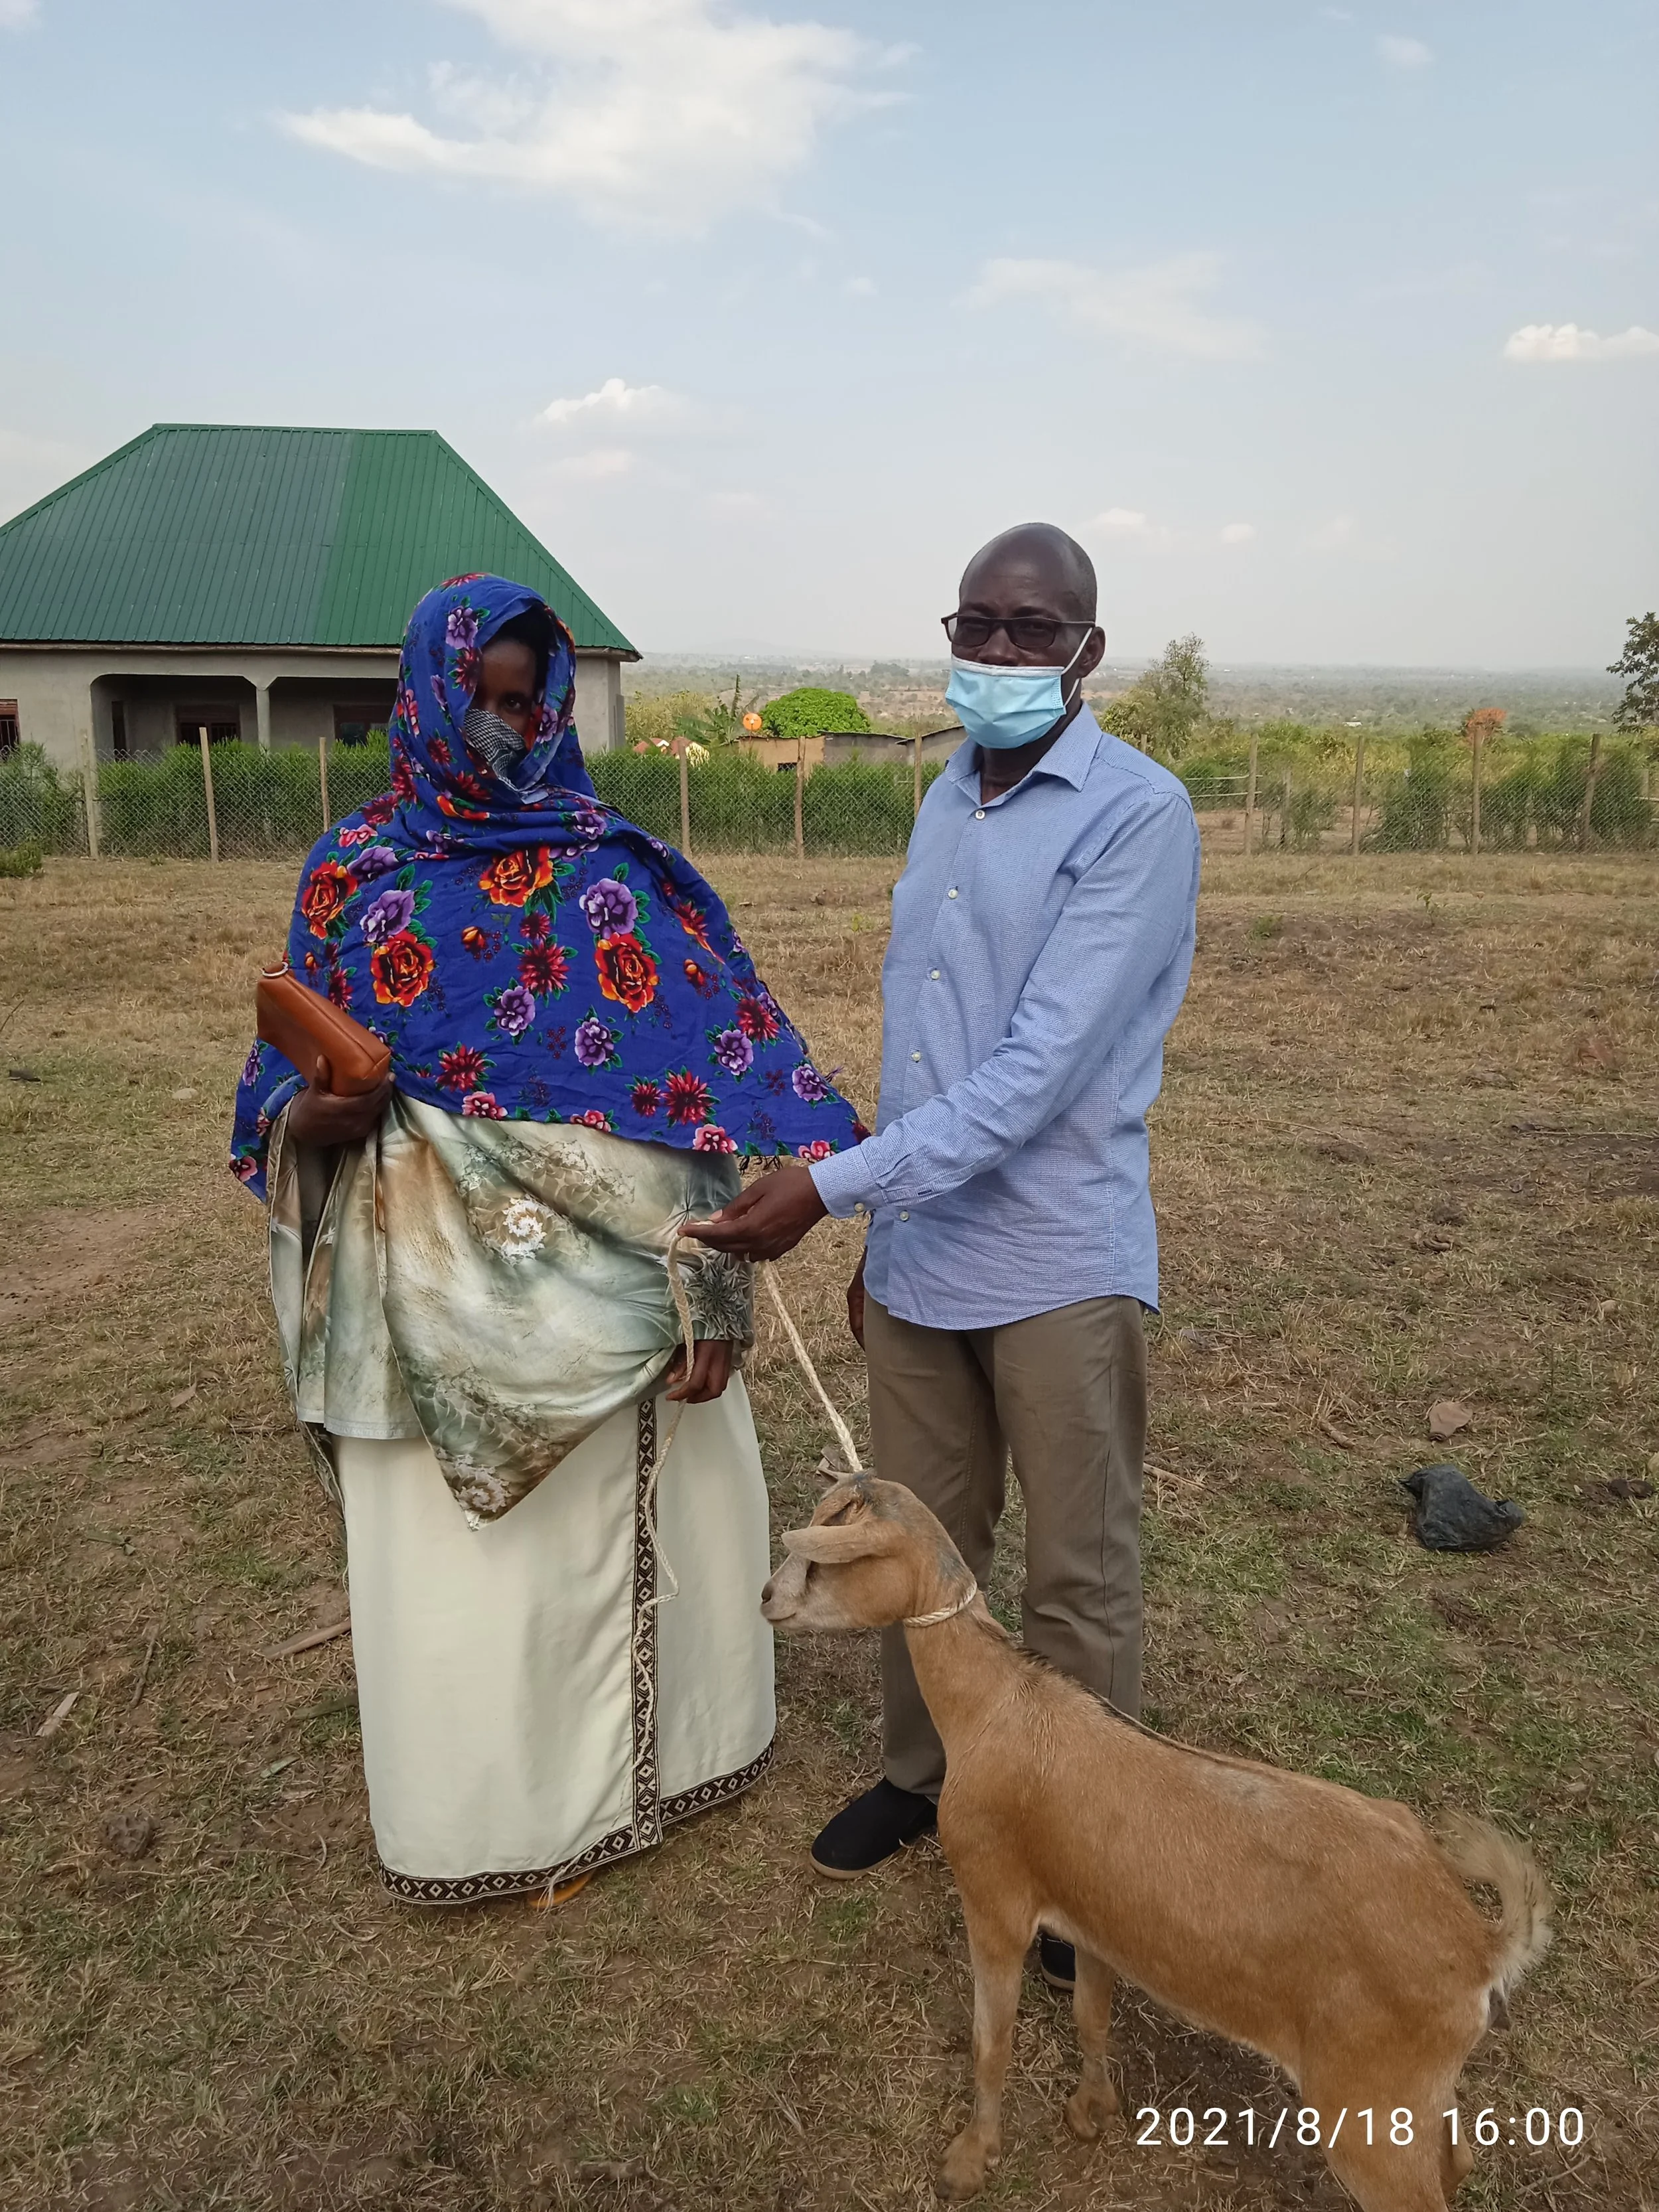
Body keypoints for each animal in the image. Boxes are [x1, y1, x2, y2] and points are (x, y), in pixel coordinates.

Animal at [762, 1476, 1551, 2210]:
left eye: (825, 1557)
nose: (768, 1598)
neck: (997, 1706)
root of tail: (1482, 1946)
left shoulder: (994, 1899)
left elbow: (992, 2041)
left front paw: (970, 2158)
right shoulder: (1092, 1920)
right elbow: (1091, 2013)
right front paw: (1092, 2110)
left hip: (1370, 2108)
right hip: (1417, 2095)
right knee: (1457, 2158)